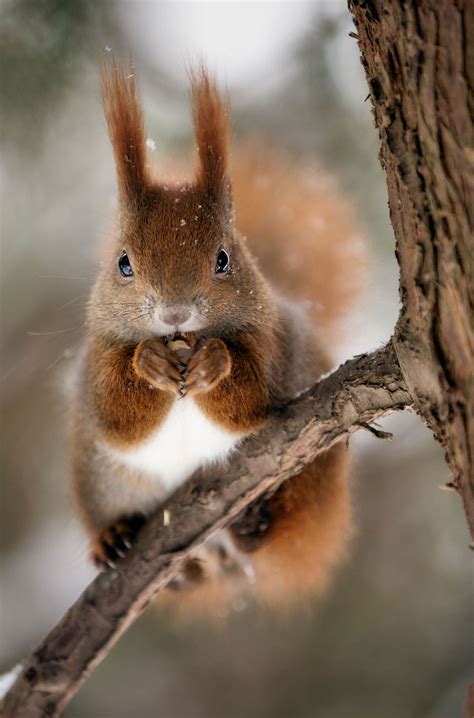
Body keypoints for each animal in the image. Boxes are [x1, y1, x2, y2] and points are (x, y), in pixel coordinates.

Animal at [70, 62, 363, 610]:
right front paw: (147, 363)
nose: (176, 314)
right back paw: (120, 539)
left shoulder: (273, 342)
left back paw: (250, 525)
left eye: (224, 258)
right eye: (123, 263)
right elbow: (120, 417)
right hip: (100, 478)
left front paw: (216, 362)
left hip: (310, 477)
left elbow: (249, 400)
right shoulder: (97, 356)